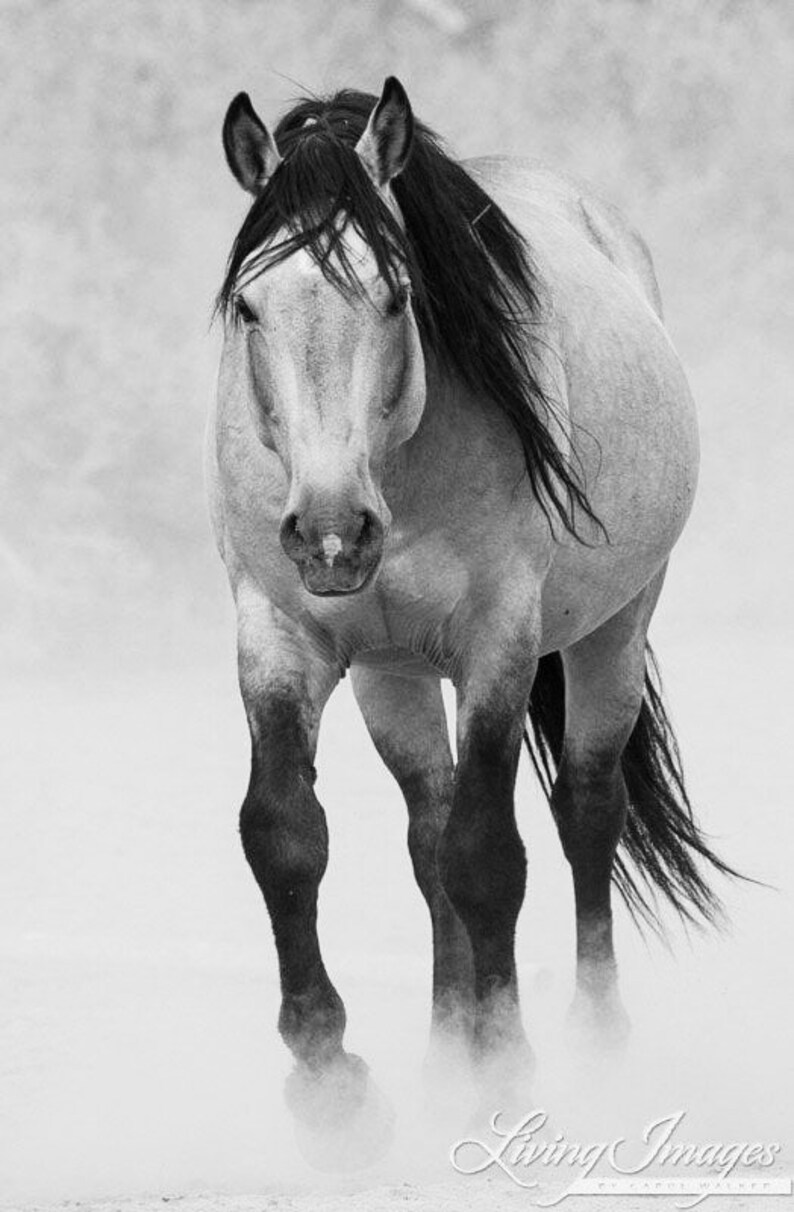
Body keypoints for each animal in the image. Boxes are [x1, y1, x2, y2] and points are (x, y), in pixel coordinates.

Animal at [207, 76, 739, 1153]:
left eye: (396, 293)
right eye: (249, 303)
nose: (332, 534)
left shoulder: (498, 642)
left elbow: (489, 854)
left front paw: (503, 1069)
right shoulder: (280, 636)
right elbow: (285, 833)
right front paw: (332, 1084)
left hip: (613, 630)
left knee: (584, 811)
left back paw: (593, 1044)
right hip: (392, 674)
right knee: (428, 832)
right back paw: (441, 1053)